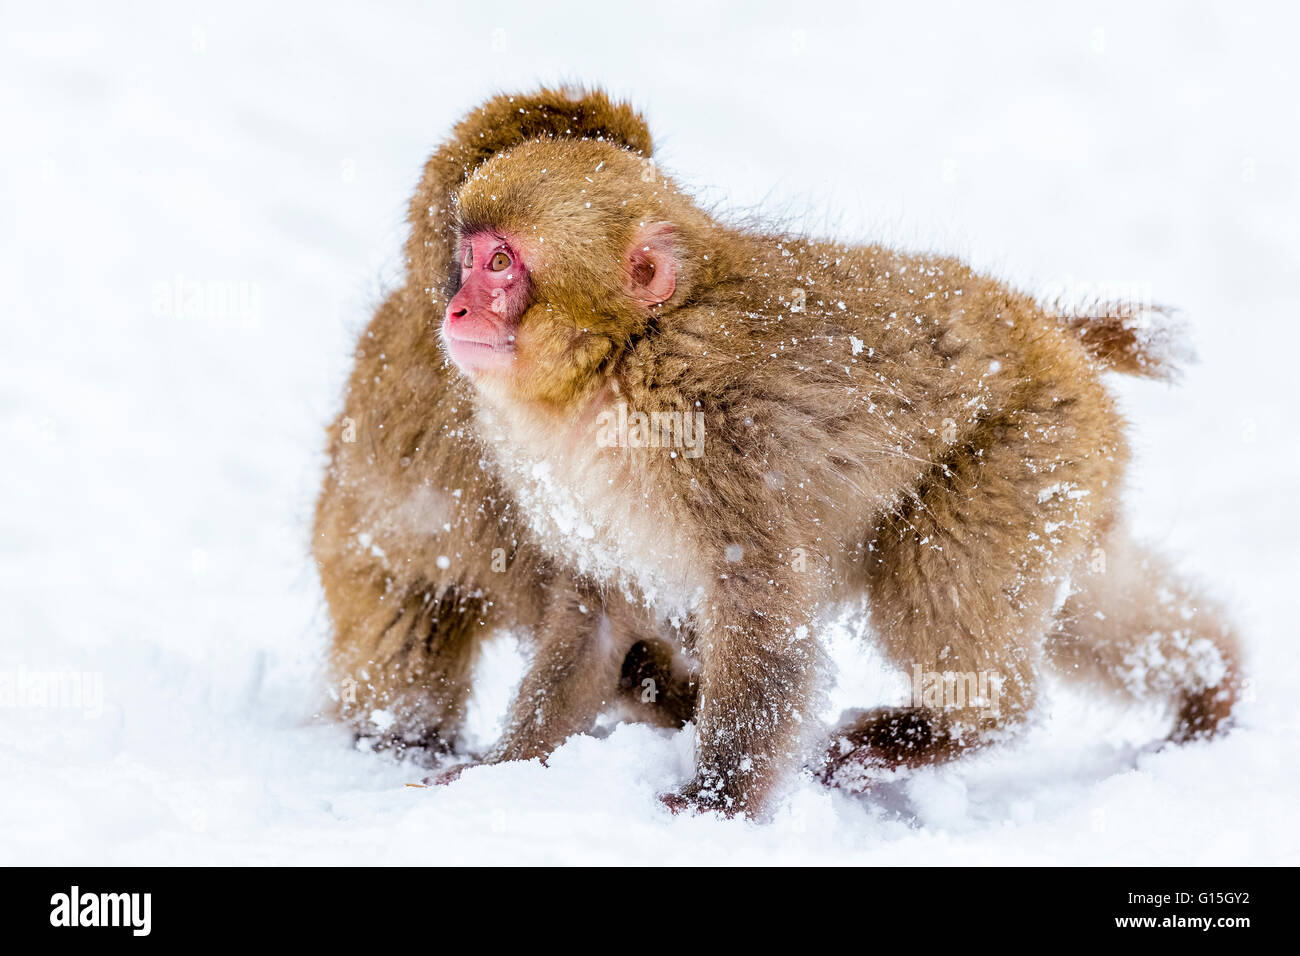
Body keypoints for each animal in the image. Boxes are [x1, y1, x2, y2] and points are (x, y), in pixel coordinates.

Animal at [424, 89, 1242, 816]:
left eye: (501, 264)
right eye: (469, 254)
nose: (455, 308)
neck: (616, 361)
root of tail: (1057, 332)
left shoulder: (711, 444)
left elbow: (762, 606)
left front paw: (713, 804)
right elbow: (595, 615)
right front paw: (502, 772)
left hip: (1021, 453)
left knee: (940, 583)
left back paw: (948, 729)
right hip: (1065, 478)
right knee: (1084, 603)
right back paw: (1209, 680)